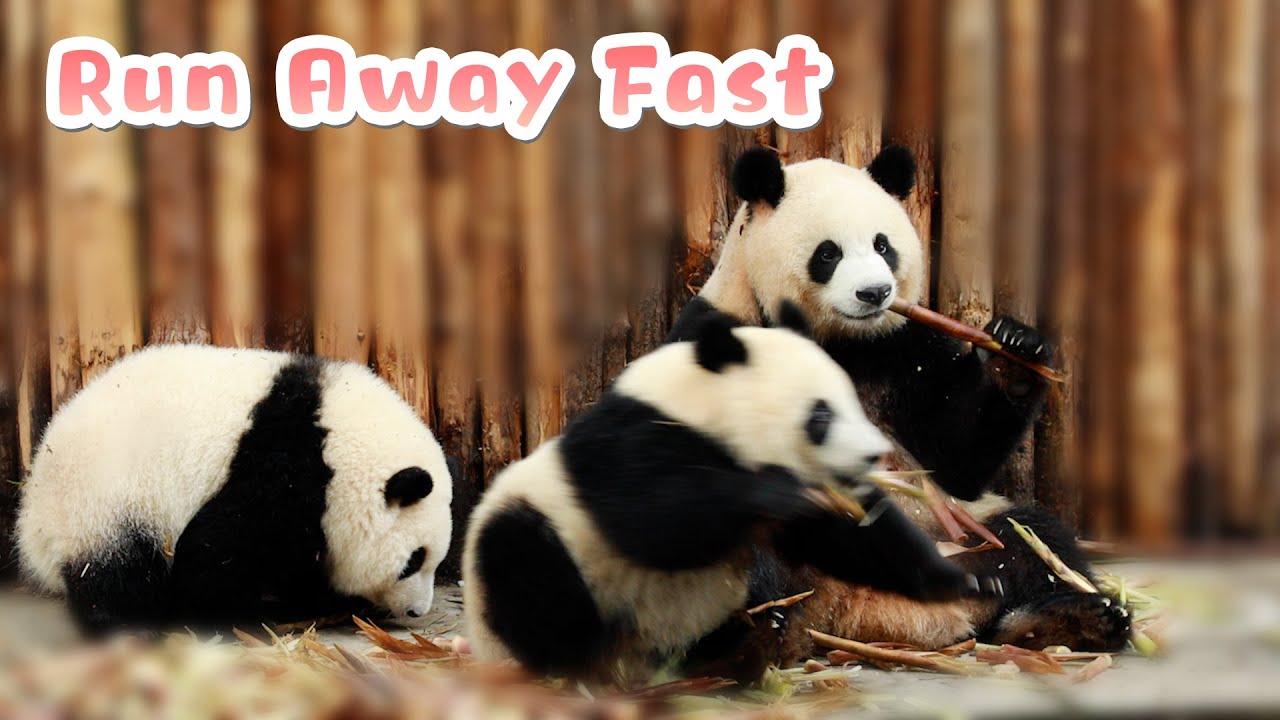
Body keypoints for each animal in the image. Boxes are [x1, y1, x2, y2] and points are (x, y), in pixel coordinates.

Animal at [16, 344, 454, 635]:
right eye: (414, 560)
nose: (417, 612)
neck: (338, 441)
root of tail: (33, 520)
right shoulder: (281, 466)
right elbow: (217, 554)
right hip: (106, 501)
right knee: (121, 572)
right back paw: (132, 623)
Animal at [463, 310, 993, 686]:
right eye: (820, 416)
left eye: (853, 404)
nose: (872, 455)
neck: (705, 402)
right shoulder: (631, 441)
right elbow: (647, 521)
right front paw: (776, 491)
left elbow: (850, 542)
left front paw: (967, 582)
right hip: (536, 551)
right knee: (531, 574)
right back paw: (582, 655)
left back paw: (745, 649)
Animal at [668, 147, 1131, 663]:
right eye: (828, 253)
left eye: (882, 246)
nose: (875, 292)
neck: (837, 339)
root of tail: (855, 611)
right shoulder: (718, 336)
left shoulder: (901, 347)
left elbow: (955, 458)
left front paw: (1013, 354)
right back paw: (753, 638)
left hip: (961, 535)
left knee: (1033, 541)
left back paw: (1069, 621)